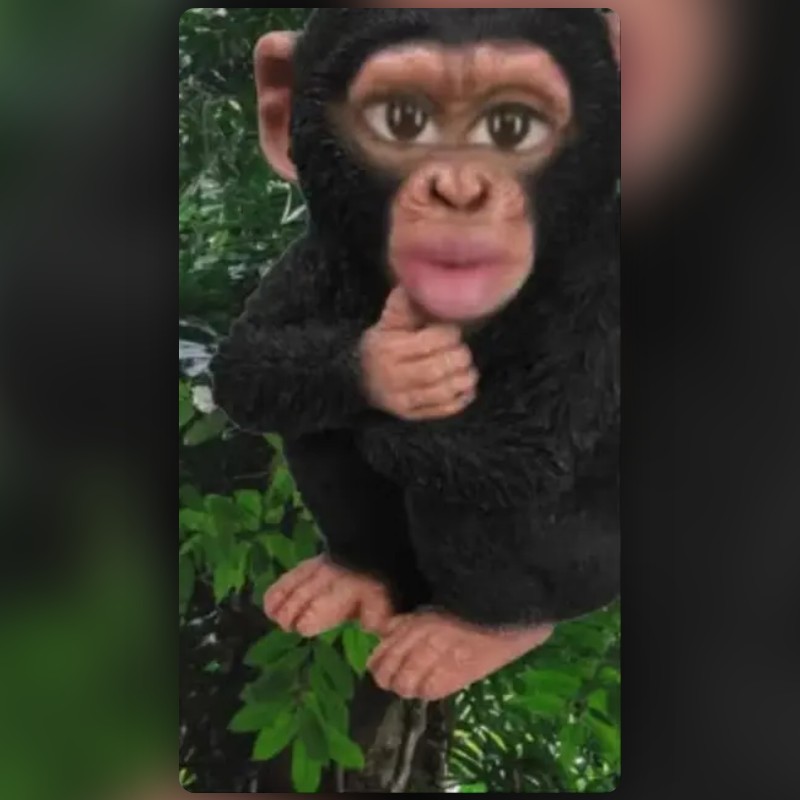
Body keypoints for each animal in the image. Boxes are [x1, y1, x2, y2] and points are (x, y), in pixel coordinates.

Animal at [210, 8, 620, 701]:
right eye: (403, 120)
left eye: (511, 127)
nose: (459, 189)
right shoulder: (324, 250)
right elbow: (244, 362)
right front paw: (391, 367)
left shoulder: (601, 281)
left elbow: (525, 449)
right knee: (321, 425)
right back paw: (355, 575)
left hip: (590, 570)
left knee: (449, 477)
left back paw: (481, 633)